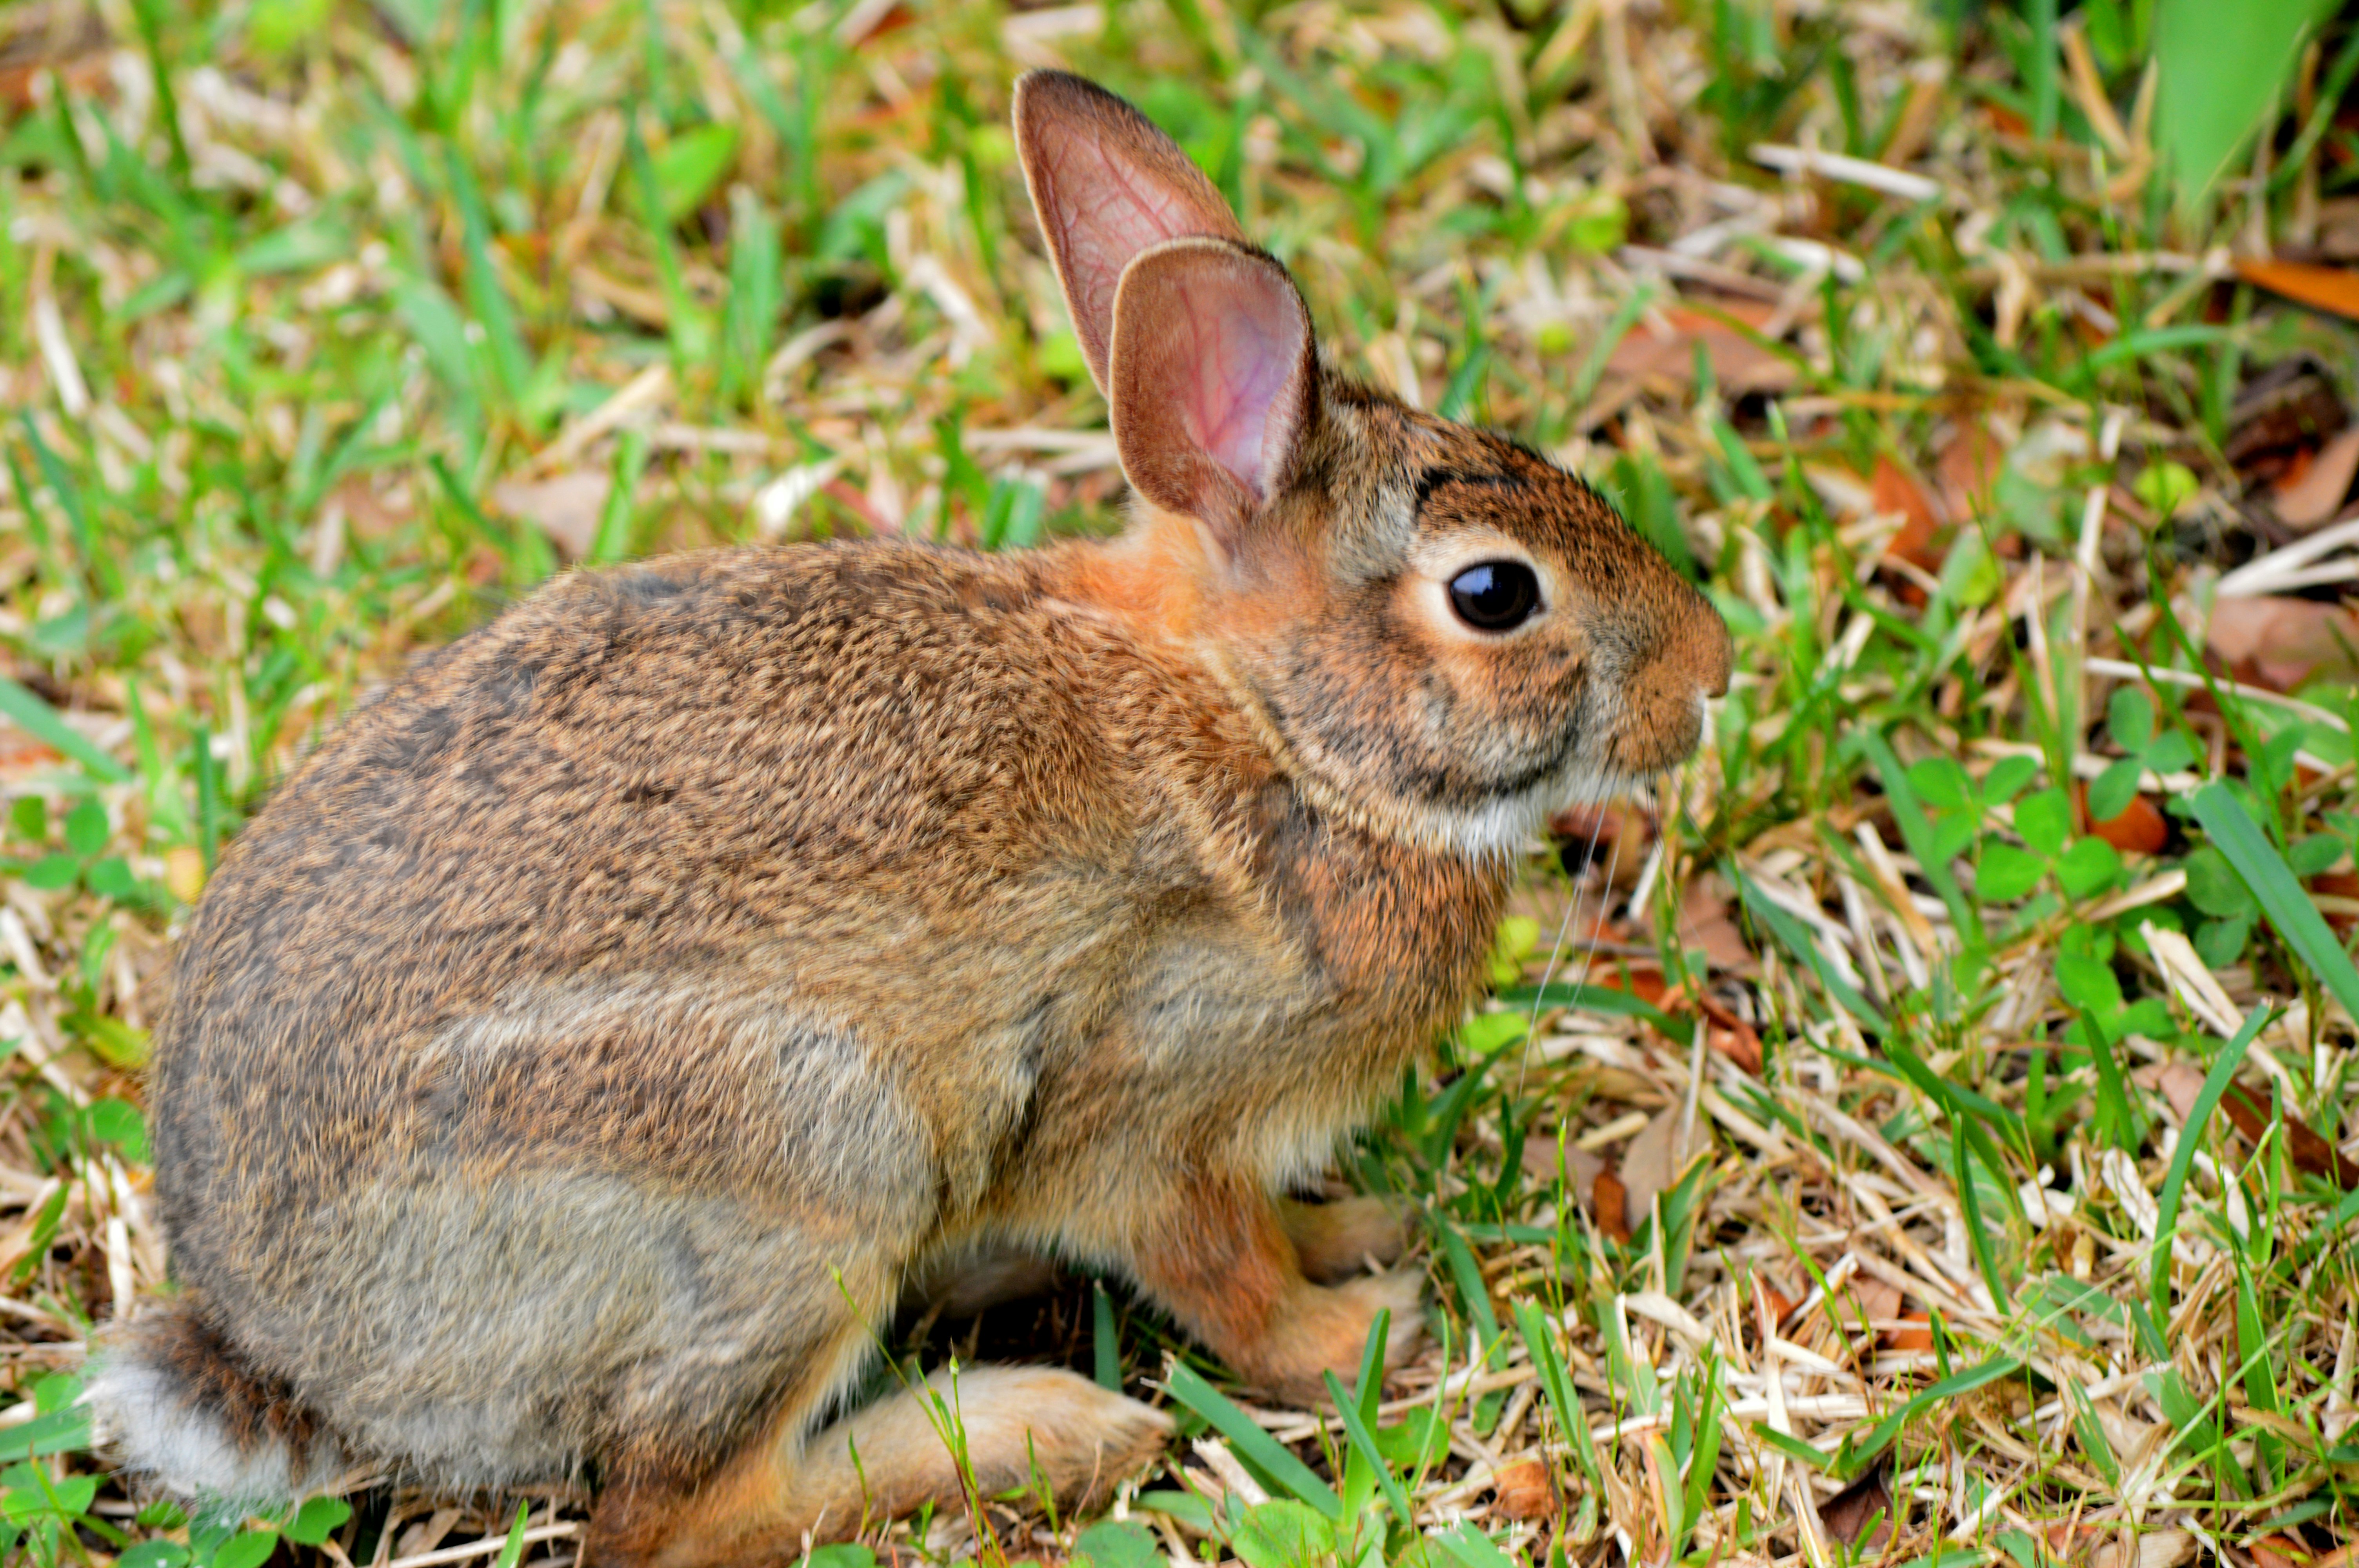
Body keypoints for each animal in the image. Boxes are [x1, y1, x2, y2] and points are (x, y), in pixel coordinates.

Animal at [88, 70, 1730, 1567]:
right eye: (1493, 593)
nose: (1707, 676)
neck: (1273, 733)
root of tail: (301, 1346)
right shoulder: (1148, 1103)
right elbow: (1225, 1280)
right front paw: (1360, 1331)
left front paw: (1360, 1231)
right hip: (813, 1152)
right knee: (678, 1514)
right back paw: (1048, 1427)